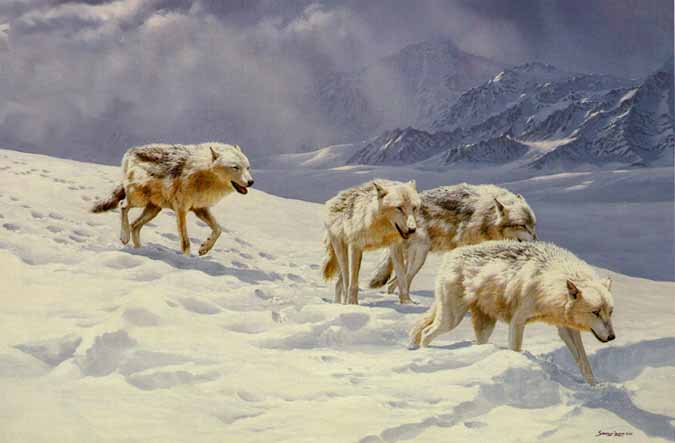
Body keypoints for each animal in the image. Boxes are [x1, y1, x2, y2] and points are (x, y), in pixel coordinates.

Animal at [91, 142, 254, 256]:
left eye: (248, 167)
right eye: (235, 167)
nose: (251, 182)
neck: (204, 176)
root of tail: (131, 152)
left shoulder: (200, 209)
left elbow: (218, 229)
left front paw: (204, 248)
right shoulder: (181, 210)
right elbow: (185, 243)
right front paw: (187, 259)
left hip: (154, 209)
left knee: (135, 226)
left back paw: (140, 250)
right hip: (139, 200)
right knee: (123, 205)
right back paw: (124, 237)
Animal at [369, 183, 537, 303]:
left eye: (533, 226)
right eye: (522, 226)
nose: (536, 242)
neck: (487, 218)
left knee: (393, 283)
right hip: (420, 257)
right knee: (398, 282)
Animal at [409, 240, 615, 384]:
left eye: (610, 312)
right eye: (595, 312)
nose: (612, 337)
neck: (548, 282)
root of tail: (450, 255)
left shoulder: (566, 328)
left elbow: (584, 362)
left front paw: (595, 387)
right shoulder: (518, 321)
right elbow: (516, 349)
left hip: (484, 326)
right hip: (452, 319)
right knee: (426, 333)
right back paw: (426, 353)